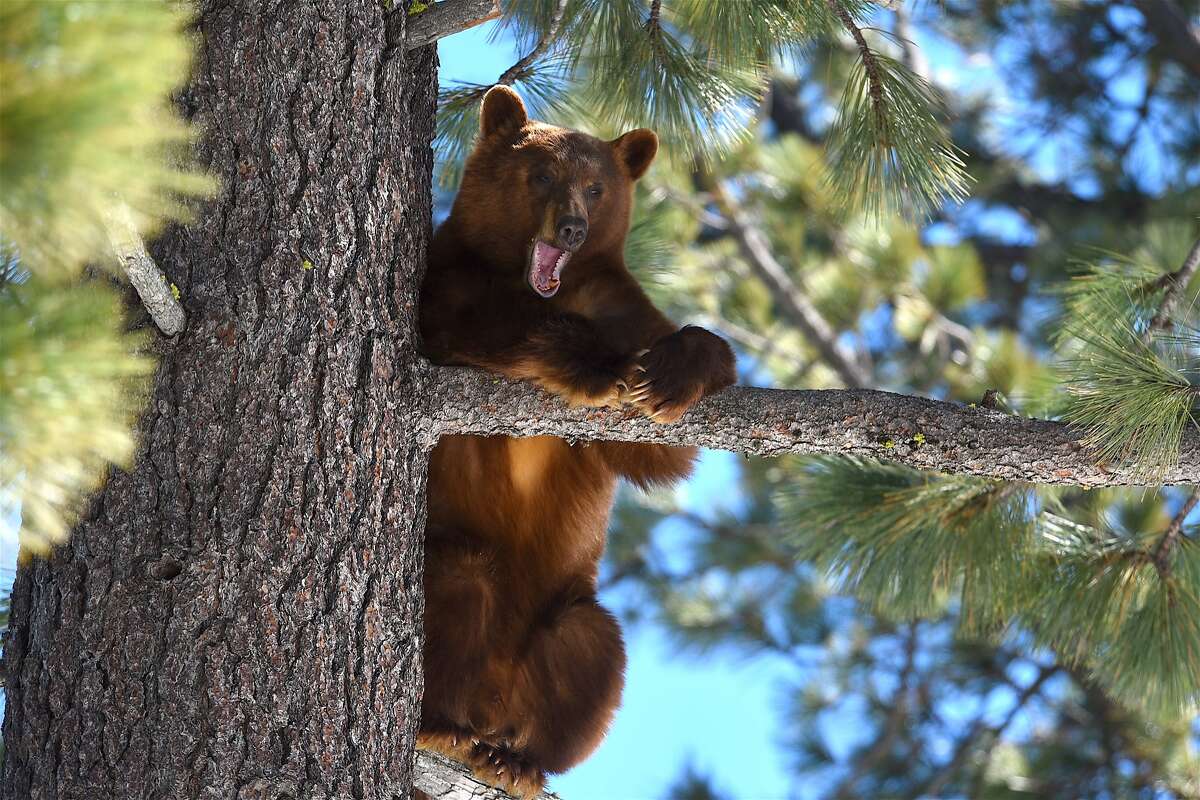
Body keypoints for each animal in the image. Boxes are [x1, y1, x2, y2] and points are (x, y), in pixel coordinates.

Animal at [416, 85, 736, 798]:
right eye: (540, 175)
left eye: (596, 187)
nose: (571, 228)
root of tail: (490, 705)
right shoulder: (452, 276)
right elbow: (464, 320)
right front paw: (590, 363)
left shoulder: (619, 299)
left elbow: (660, 452)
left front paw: (674, 373)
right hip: (452, 575)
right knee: (457, 579)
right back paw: (440, 724)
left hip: (562, 614)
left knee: (591, 646)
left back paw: (519, 759)